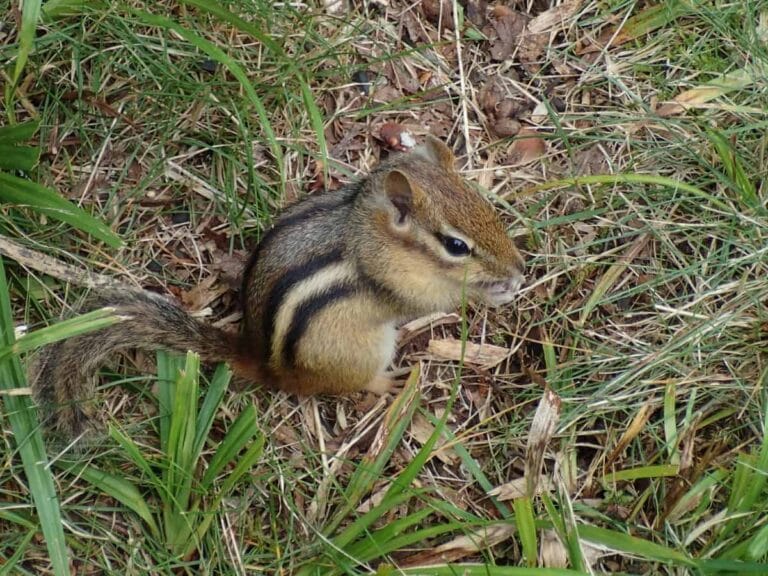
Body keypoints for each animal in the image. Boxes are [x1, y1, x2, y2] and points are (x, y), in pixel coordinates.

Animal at [32, 137, 525, 437]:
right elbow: (428, 300)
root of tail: (266, 364)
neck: (369, 226)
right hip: (364, 351)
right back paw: (385, 382)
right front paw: (493, 290)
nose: (519, 267)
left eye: (487, 207)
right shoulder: (393, 281)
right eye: (456, 245)